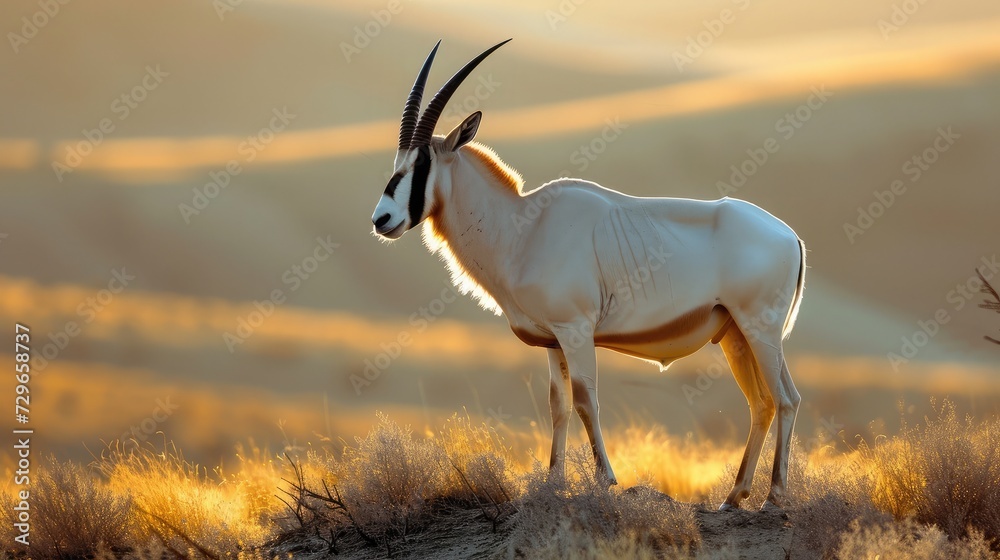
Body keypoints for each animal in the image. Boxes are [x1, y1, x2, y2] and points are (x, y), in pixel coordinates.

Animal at [370, 39, 806, 511]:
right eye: (397, 163)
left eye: (422, 165)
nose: (382, 219)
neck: (522, 225)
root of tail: (791, 235)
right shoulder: (552, 340)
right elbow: (558, 405)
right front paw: (553, 481)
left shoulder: (576, 330)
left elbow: (585, 401)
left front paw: (604, 480)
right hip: (736, 336)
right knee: (762, 403)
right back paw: (734, 496)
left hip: (760, 329)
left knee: (784, 398)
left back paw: (773, 496)